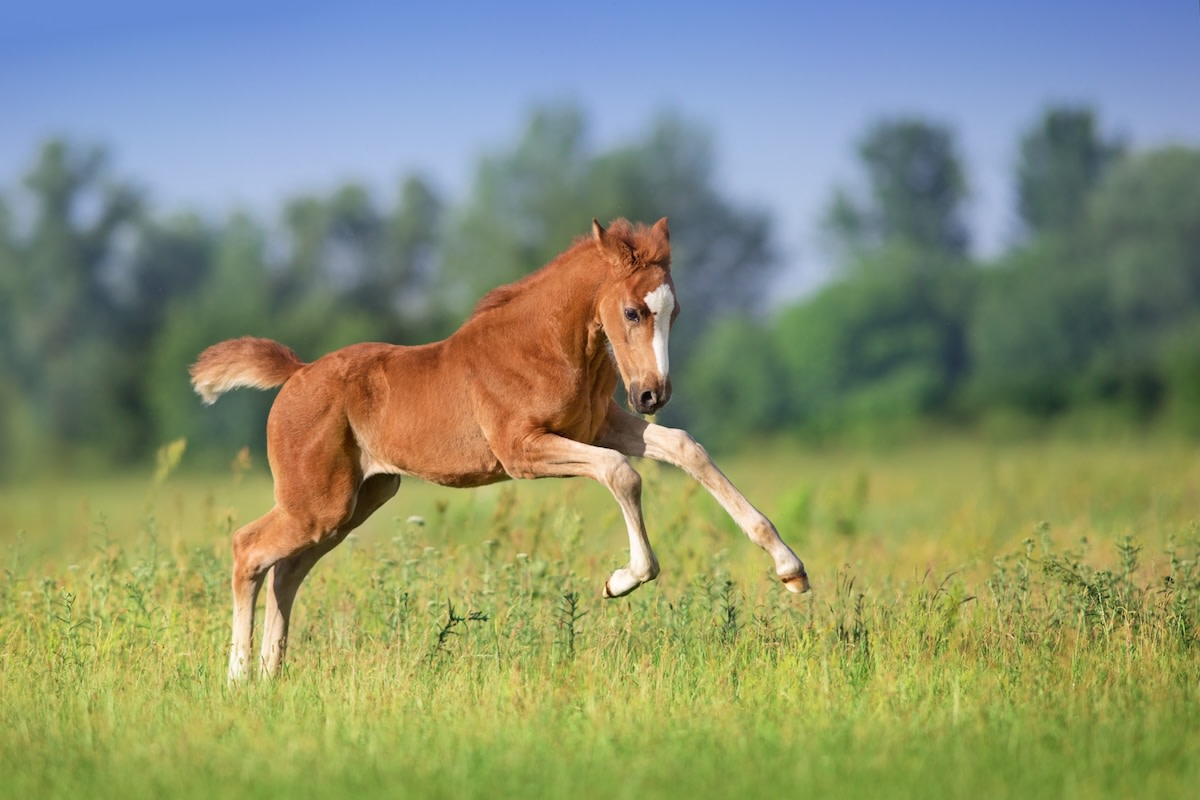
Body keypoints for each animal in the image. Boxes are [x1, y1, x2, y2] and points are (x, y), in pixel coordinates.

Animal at [191, 217, 809, 683]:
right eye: (632, 312)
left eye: (674, 312)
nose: (653, 393)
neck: (549, 346)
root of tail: (296, 373)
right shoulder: (523, 450)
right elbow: (620, 474)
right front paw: (623, 579)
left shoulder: (600, 425)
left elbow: (686, 448)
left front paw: (790, 569)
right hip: (317, 501)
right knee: (248, 549)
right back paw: (239, 676)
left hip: (355, 501)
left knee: (286, 571)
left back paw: (272, 673)